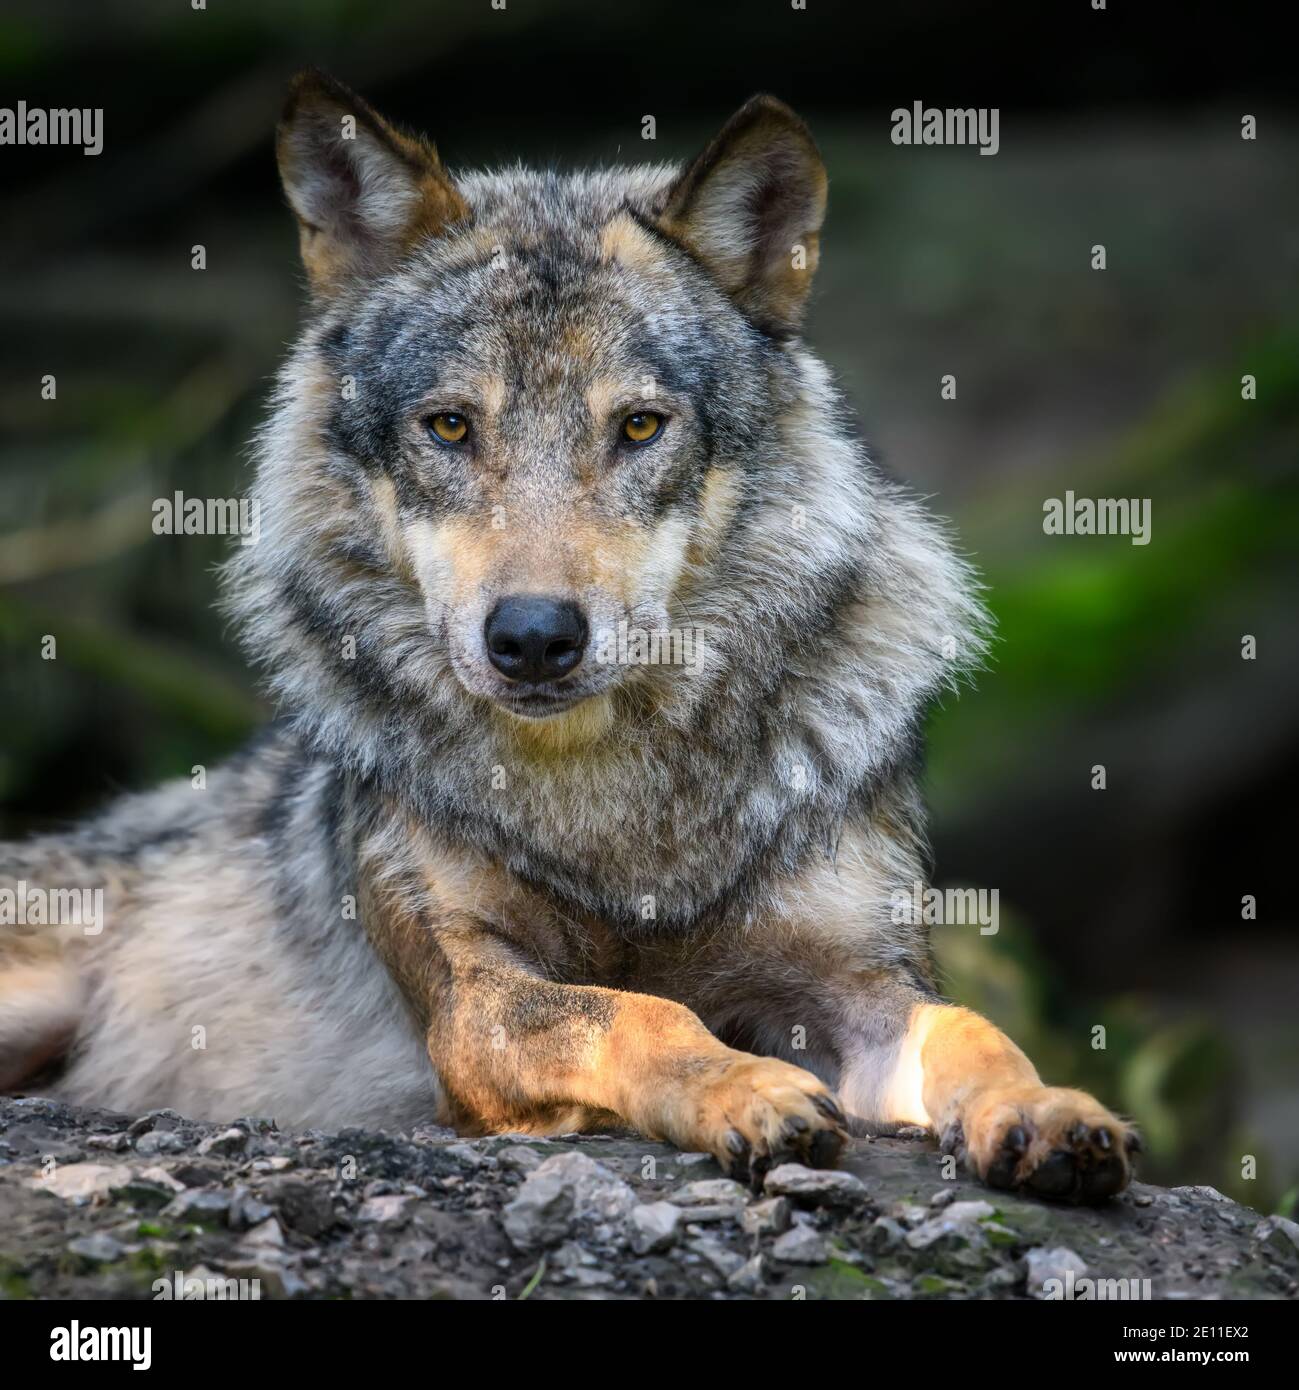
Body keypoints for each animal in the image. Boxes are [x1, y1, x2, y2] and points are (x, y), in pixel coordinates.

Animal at [0, 73, 1137, 1201]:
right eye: (450, 426)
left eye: (637, 427)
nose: (535, 635)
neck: (607, 804)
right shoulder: (474, 999)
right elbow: (636, 1011)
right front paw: (743, 1090)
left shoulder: (855, 977)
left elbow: (969, 1027)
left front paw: (1047, 1109)